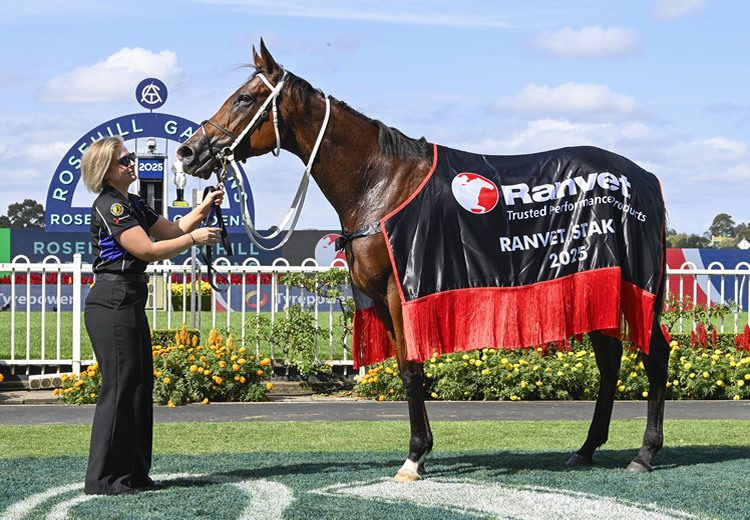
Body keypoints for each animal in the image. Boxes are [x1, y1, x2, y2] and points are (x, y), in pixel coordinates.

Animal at [177, 40, 670, 481]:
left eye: (244, 98)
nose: (188, 151)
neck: (381, 183)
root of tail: (646, 177)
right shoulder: (384, 298)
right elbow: (403, 367)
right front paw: (424, 450)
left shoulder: (403, 293)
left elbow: (412, 372)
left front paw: (413, 458)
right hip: (595, 280)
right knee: (610, 358)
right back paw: (586, 449)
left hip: (633, 282)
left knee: (654, 354)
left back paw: (644, 454)